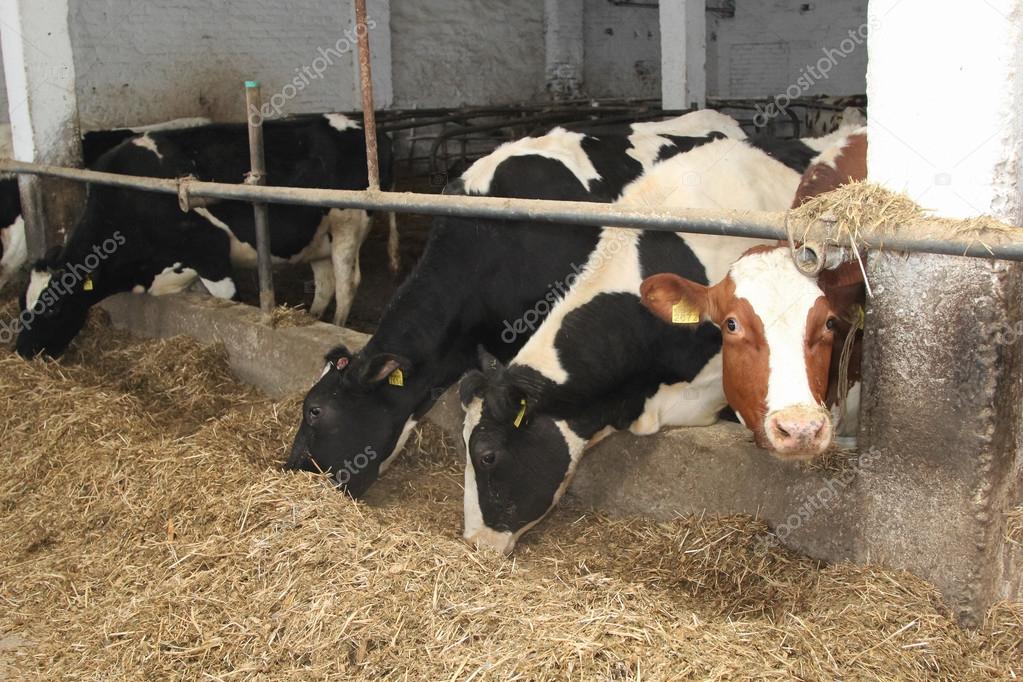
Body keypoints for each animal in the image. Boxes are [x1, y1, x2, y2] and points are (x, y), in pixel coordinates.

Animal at [15, 114, 393, 359]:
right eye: (21, 304)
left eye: (52, 308)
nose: (21, 350)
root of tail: (361, 126)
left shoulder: (211, 254)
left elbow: (228, 303)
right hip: (317, 237)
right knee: (325, 283)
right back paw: (312, 318)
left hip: (347, 224)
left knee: (346, 284)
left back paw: (338, 324)